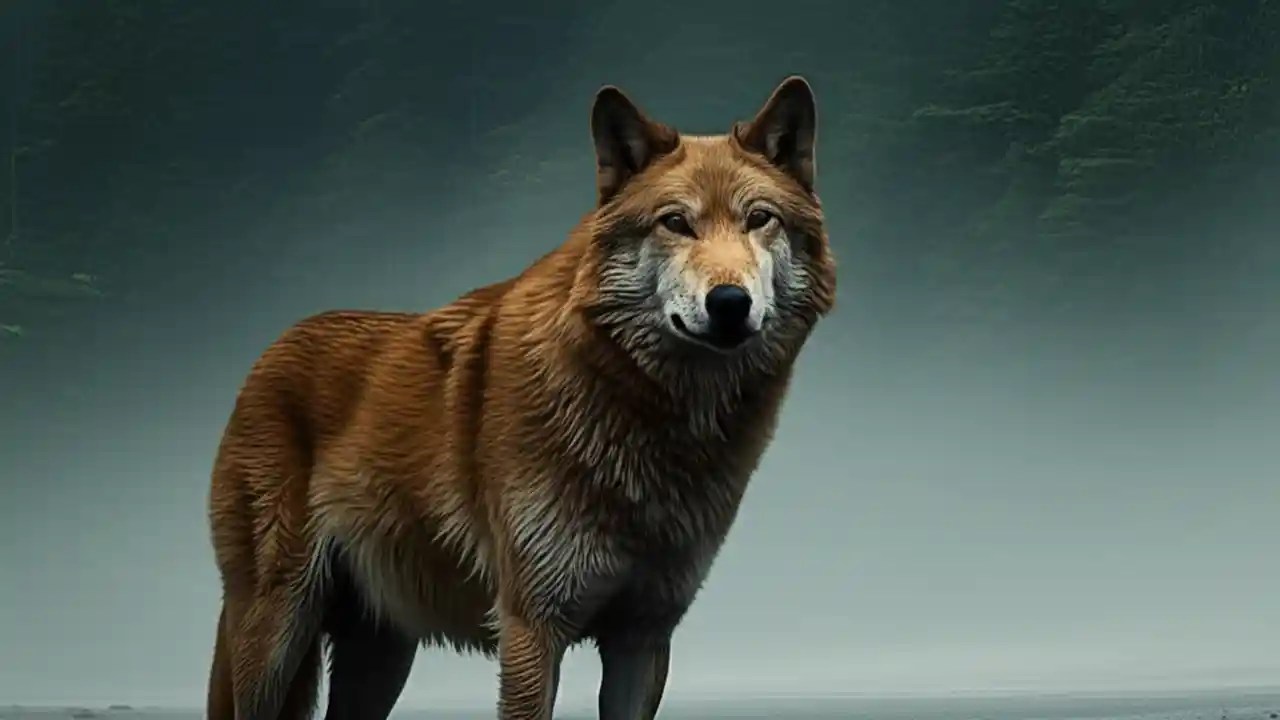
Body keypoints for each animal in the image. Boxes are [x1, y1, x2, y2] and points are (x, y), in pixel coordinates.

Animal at [205, 75, 836, 720]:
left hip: (382, 655)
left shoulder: (642, 638)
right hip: (277, 630)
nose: (730, 302)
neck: (644, 416)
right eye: (675, 223)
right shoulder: (531, 628)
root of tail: (270, 351)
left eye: (759, 219)